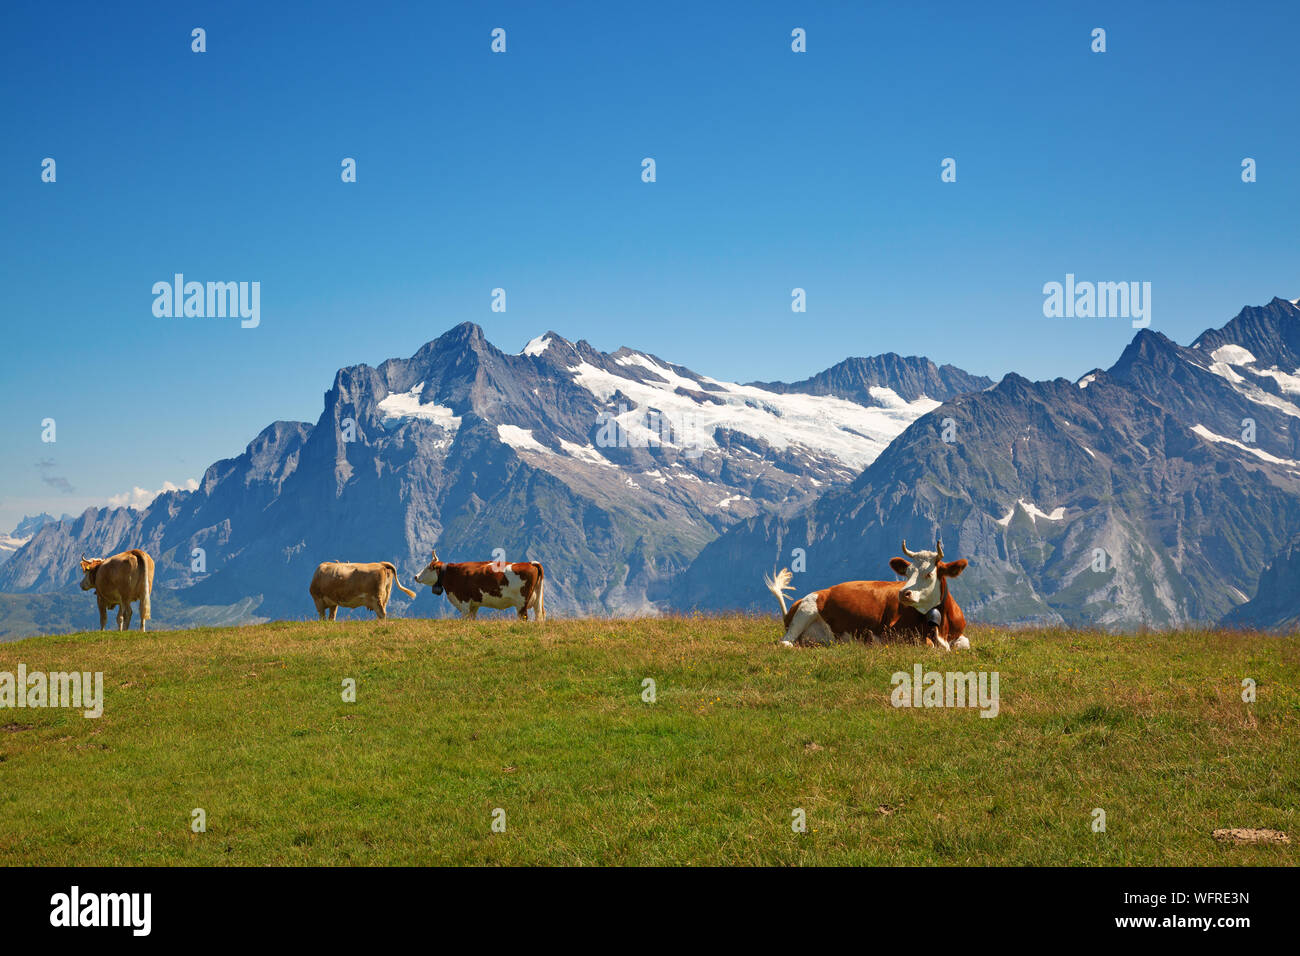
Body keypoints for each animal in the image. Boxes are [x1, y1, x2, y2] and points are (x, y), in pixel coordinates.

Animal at [415, 550, 546, 621]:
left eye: (429, 567)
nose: (415, 576)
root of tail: (530, 563)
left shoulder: (464, 602)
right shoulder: (474, 604)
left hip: (521, 603)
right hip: (537, 601)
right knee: (540, 616)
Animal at [764, 539, 969, 650]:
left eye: (929, 574)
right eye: (907, 572)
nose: (904, 593)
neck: (942, 627)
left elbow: (964, 643)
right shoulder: (892, 634)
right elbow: (929, 645)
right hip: (806, 610)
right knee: (786, 642)